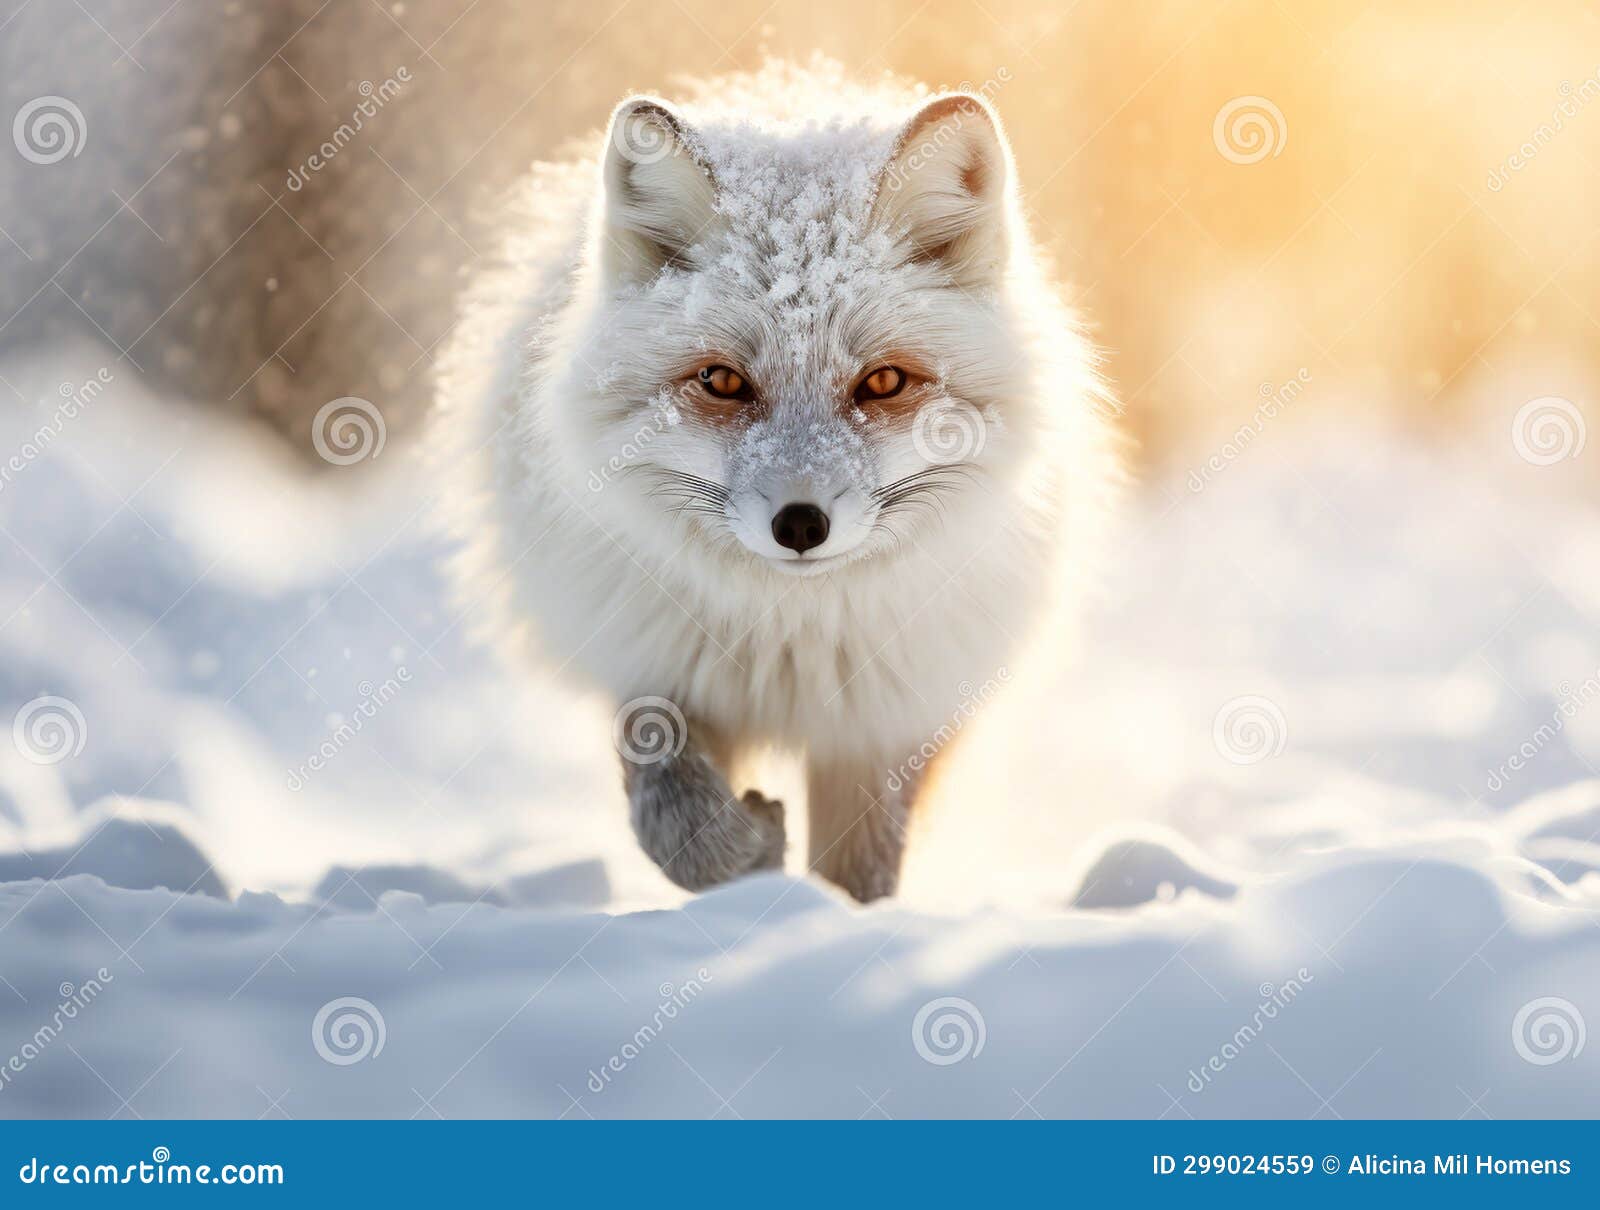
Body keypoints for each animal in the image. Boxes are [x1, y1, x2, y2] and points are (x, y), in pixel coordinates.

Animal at [436, 61, 1117, 902]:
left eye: (883, 382)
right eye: (723, 382)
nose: (800, 524)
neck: (793, 641)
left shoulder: (892, 719)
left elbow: (860, 870)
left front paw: (832, 922)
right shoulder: (653, 667)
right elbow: (674, 820)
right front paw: (749, 853)